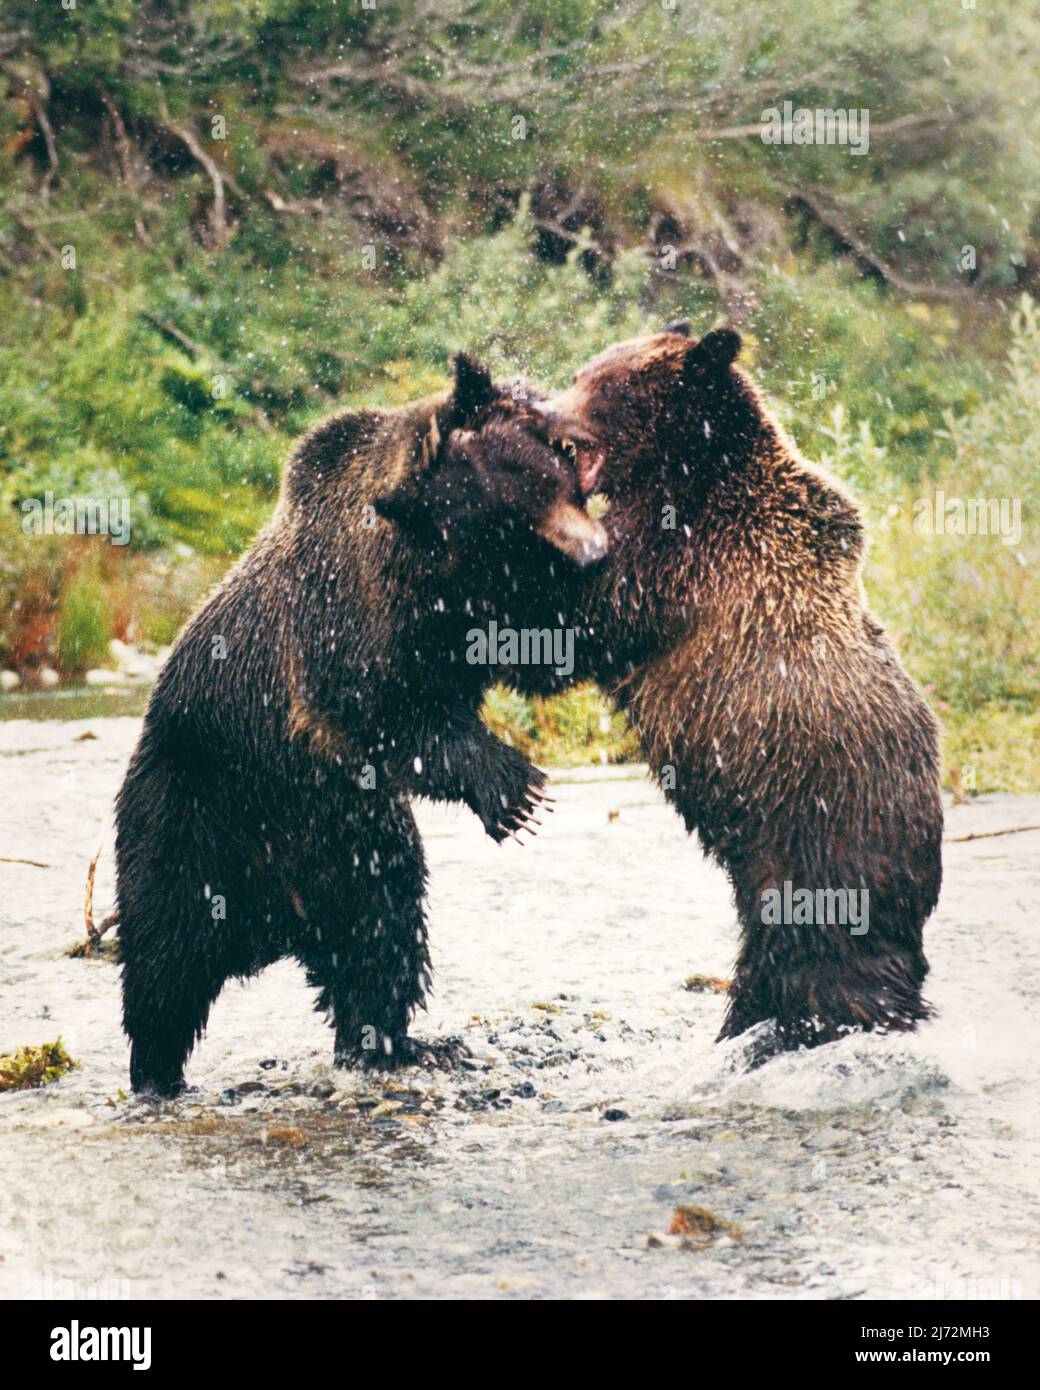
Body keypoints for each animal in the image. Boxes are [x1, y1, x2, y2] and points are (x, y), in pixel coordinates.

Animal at [115, 354, 607, 1096]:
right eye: (514, 530)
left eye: (559, 480)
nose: (592, 556)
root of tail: (271, 925)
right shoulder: (340, 628)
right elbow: (376, 714)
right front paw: (518, 790)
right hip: (188, 813)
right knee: (163, 960)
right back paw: (156, 1071)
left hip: (357, 847)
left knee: (380, 936)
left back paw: (395, 1044)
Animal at [458, 324, 944, 1059]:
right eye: (584, 370)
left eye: (605, 385)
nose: (543, 410)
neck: (685, 473)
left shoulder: (679, 564)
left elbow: (569, 627)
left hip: (818, 844)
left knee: (822, 964)